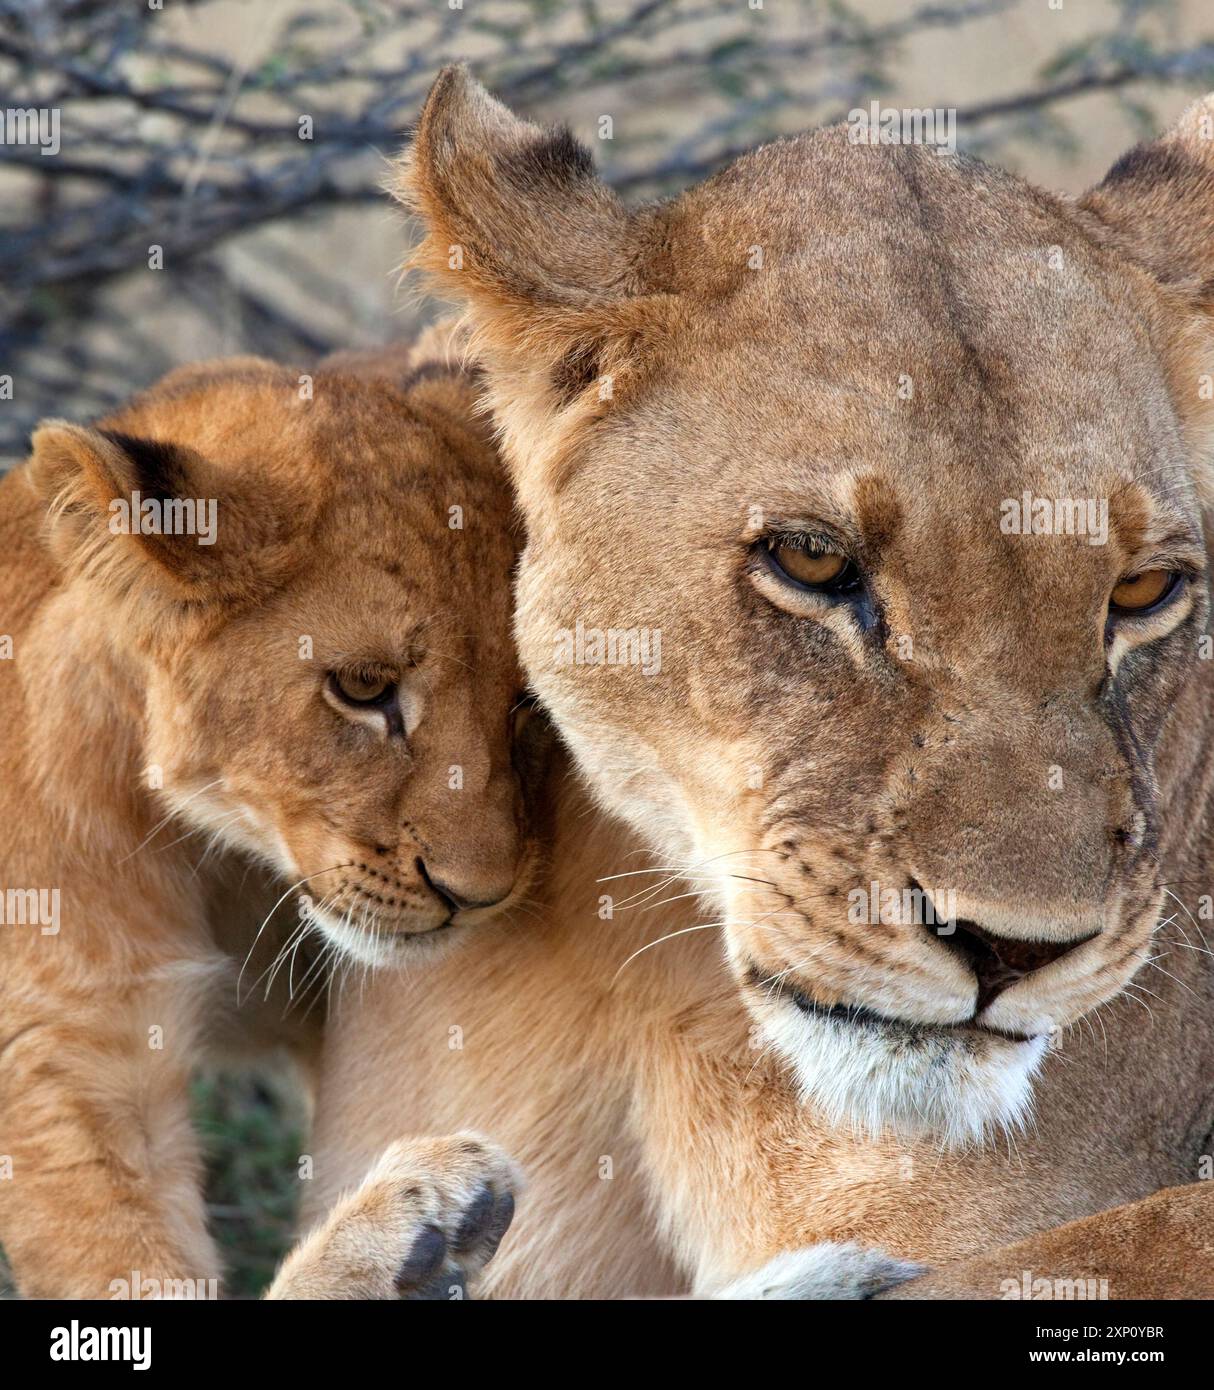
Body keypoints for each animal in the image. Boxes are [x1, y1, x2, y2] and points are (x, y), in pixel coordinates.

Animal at [0, 337, 540, 1298]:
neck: (220, 858)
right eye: (362, 688)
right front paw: (400, 1246)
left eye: (523, 698)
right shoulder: (68, 1049)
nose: (479, 896)